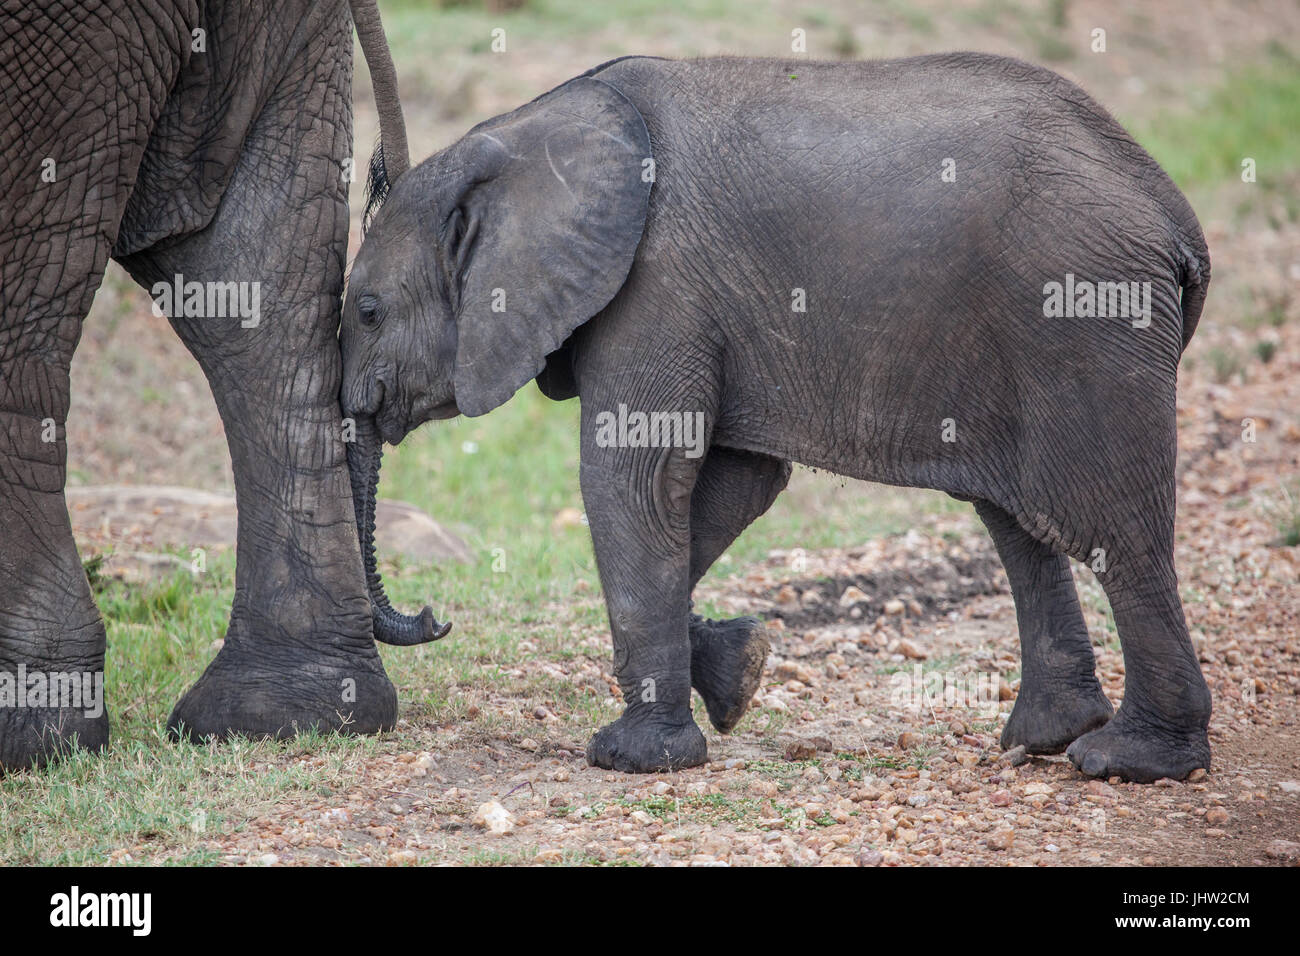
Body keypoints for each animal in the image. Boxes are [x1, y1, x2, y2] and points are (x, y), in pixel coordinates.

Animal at [341, 53, 1213, 783]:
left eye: (369, 310)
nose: (434, 616)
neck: (525, 135)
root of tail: (1173, 212)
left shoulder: (658, 287)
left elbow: (633, 479)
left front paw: (633, 757)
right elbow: (733, 485)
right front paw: (743, 669)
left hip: (1083, 318)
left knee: (1115, 530)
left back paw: (1129, 761)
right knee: (1014, 520)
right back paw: (1047, 736)